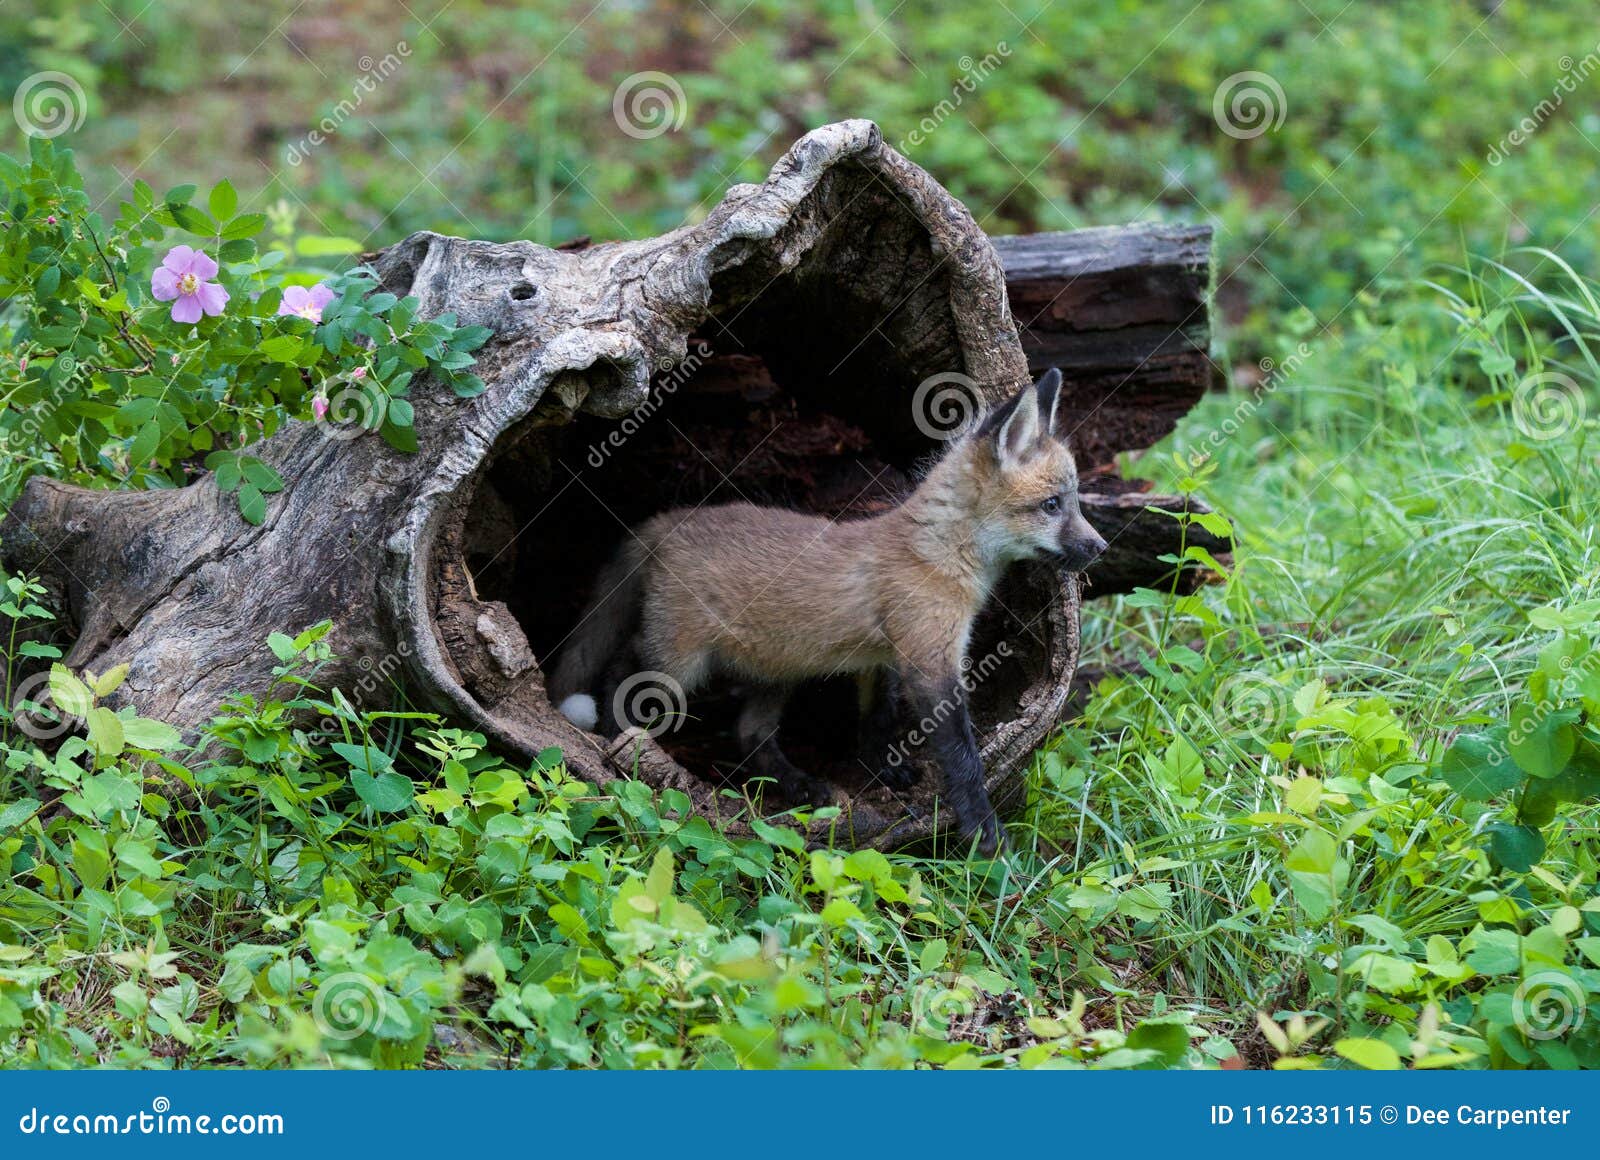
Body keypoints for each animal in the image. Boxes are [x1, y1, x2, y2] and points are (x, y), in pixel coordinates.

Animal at [549, 367, 1107, 855]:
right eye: (1053, 504)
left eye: (1075, 501)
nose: (1099, 547)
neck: (937, 554)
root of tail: (670, 519)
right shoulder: (931, 660)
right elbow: (961, 755)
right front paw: (984, 833)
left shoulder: (884, 658)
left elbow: (877, 721)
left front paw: (883, 771)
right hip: (679, 666)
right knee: (624, 670)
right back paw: (613, 732)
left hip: (776, 668)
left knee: (749, 731)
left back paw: (798, 783)